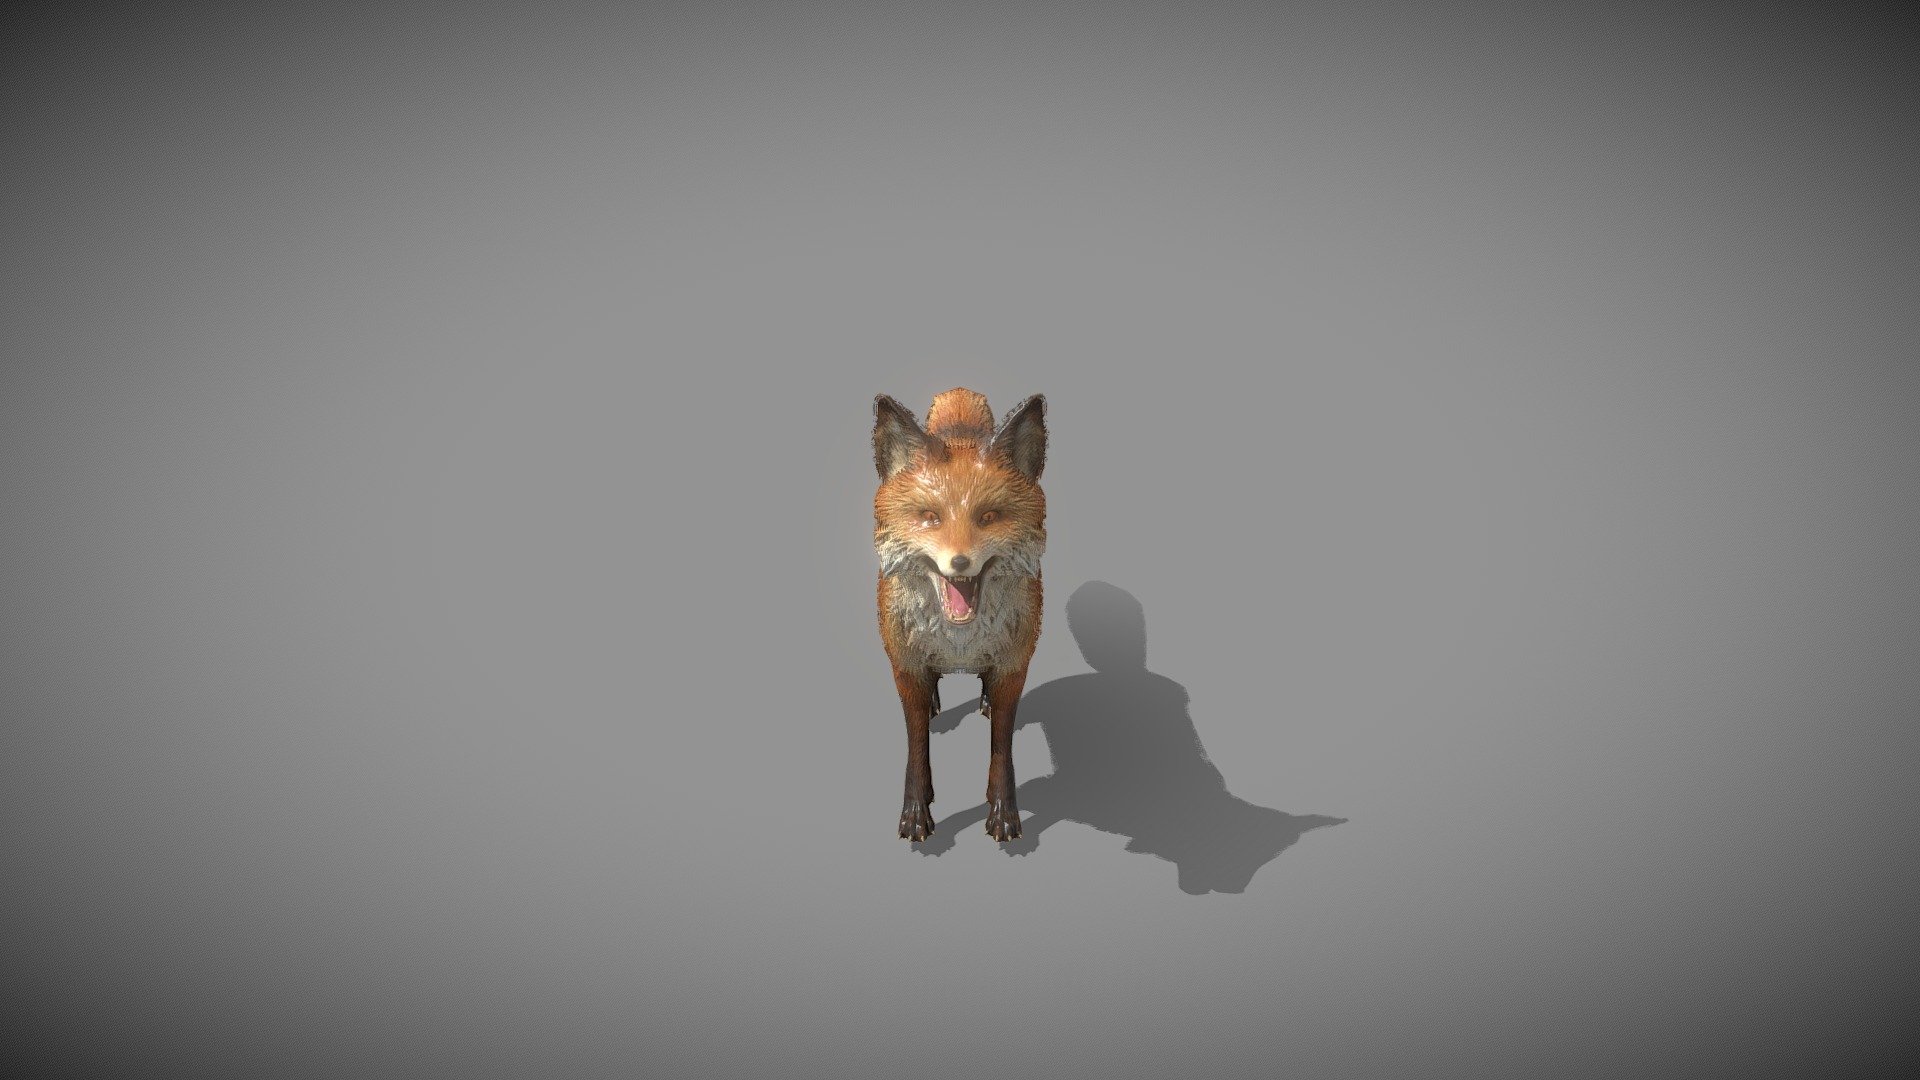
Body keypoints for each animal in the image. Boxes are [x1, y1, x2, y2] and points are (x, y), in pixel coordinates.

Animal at [873, 388, 1047, 843]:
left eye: (987, 517)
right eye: (930, 517)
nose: (960, 562)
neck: (959, 644)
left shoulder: (1013, 668)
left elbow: (1001, 748)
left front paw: (1003, 812)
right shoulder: (906, 668)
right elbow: (917, 746)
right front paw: (917, 813)